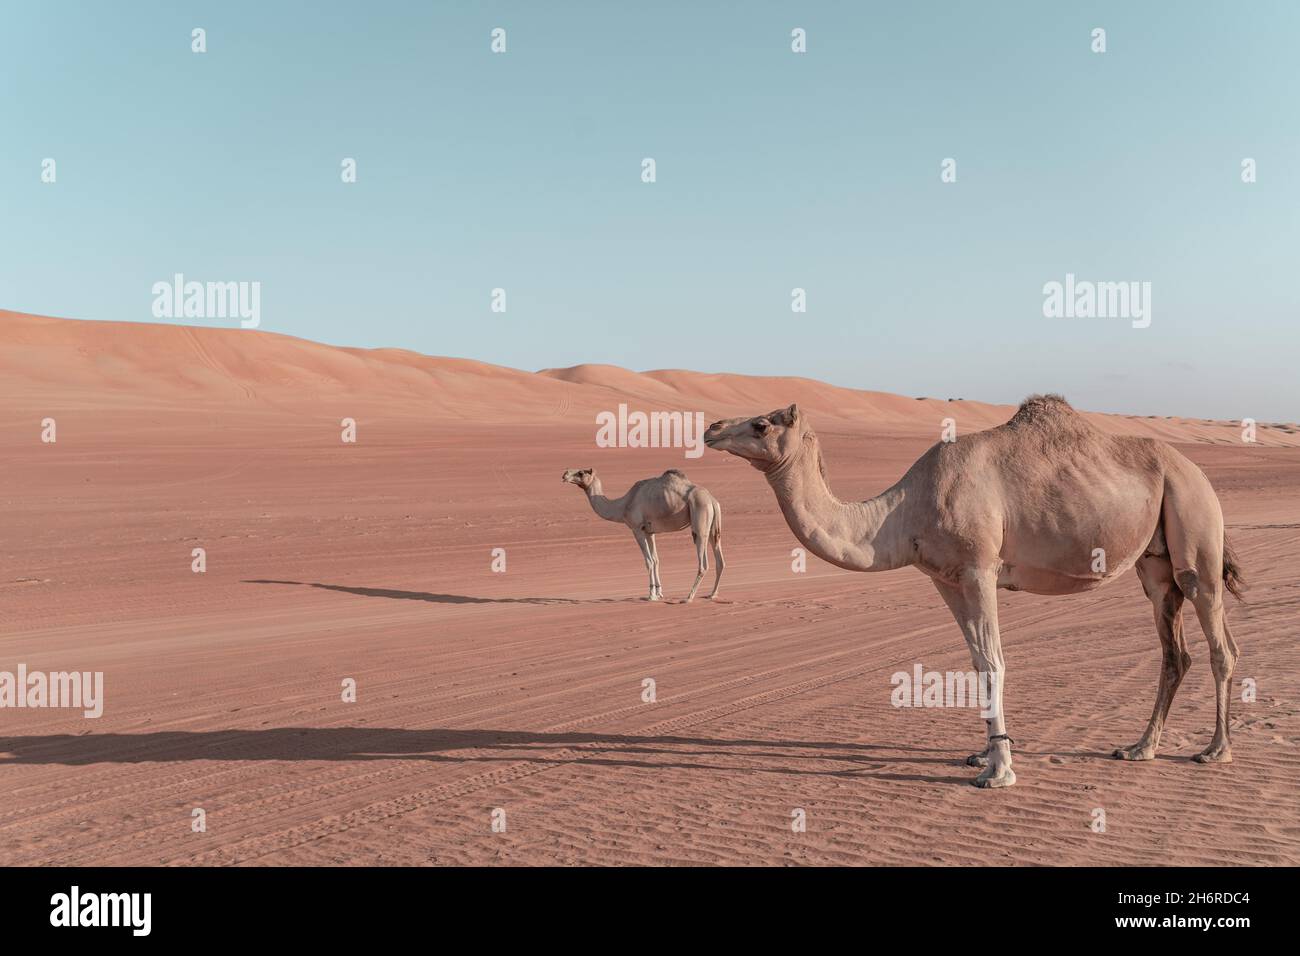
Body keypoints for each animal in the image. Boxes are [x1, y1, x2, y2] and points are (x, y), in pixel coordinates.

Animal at [561, 467, 724, 602]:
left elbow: (649, 561)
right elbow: (656, 560)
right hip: (713, 526)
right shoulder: (649, 531)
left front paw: (651, 595)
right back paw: (712, 594)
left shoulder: (637, 529)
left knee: (703, 563)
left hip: (700, 519)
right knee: (720, 559)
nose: (565, 474)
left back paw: (689, 597)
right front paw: (659, 593)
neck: (623, 505)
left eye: (581, 473)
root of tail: (712, 499)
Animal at [703, 396, 1244, 788]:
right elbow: (975, 660)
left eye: (762, 425)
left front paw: (998, 770)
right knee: (1175, 651)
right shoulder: (945, 578)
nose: (711, 428)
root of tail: (1196, 470)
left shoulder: (979, 567)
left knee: (1221, 644)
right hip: (1156, 563)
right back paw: (1139, 747)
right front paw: (983, 753)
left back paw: (1216, 750)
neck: (904, 512)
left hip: (1194, 524)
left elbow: (993, 660)